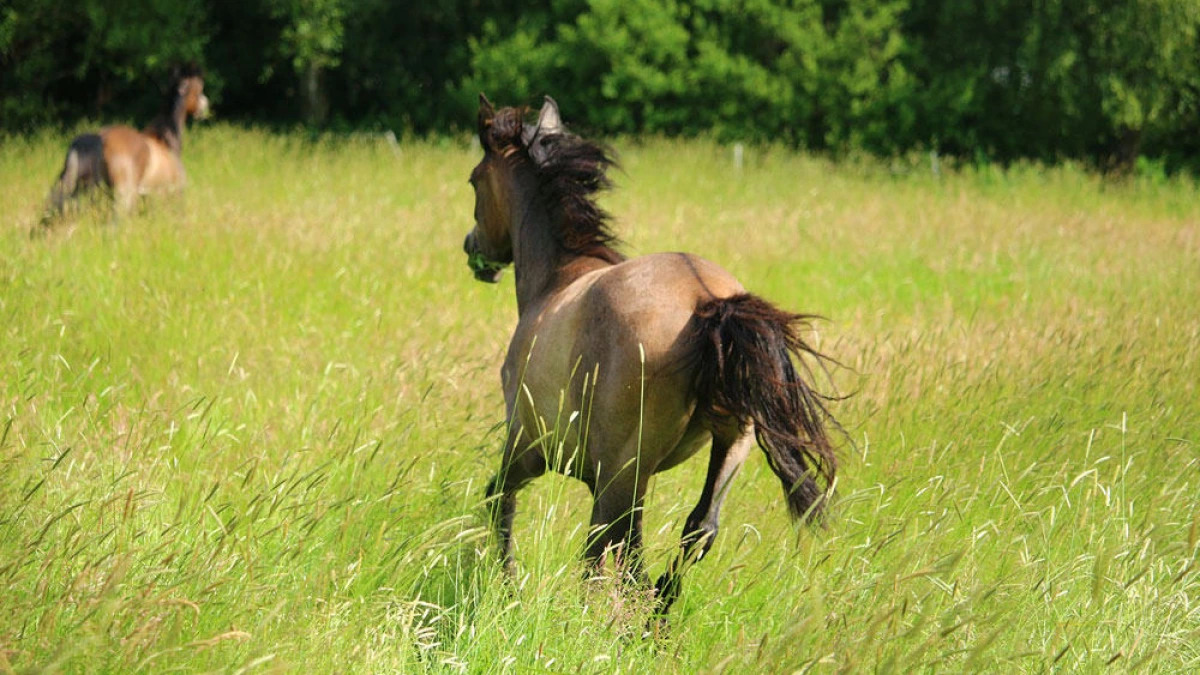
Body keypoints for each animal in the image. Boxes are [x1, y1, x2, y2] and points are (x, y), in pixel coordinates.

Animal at [39, 65, 210, 227]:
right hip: (123, 195)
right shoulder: (171, 194)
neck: (165, 140)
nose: (205, 106)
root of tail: (99, 139)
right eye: (198, 88)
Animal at [462, 94, 844, 618]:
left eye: (474, 180)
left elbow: (499, 501)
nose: (473, 250)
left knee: (622, 553)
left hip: (625, 472)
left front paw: (507, 586)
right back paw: (657, 619)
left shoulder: (528, 446)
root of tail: (707, 301)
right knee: (693, 532)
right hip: (730, 446)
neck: (555, 282)